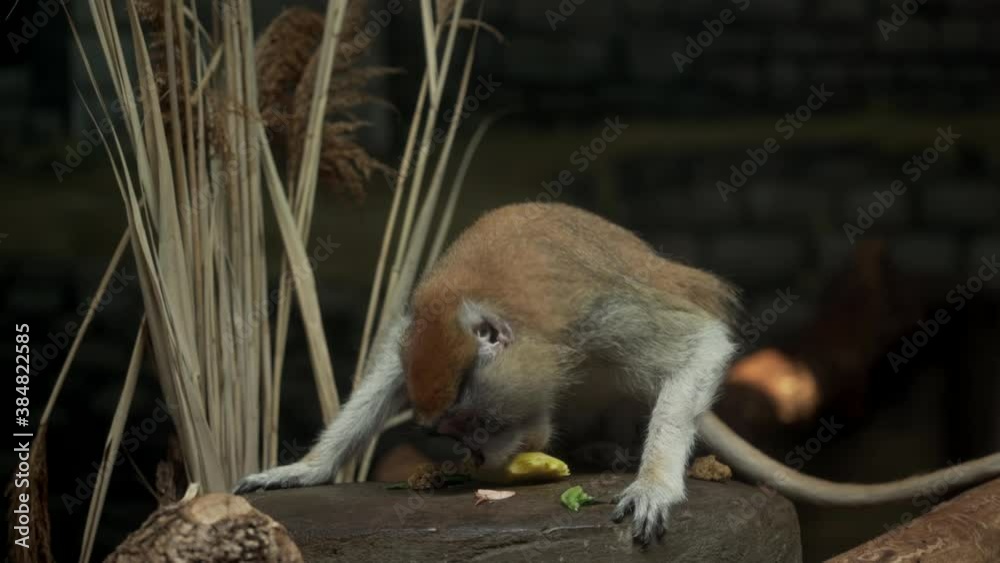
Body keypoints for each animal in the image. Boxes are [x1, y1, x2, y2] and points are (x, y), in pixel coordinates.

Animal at [236, 202, 1000, 545]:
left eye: (477, 422)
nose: (477, 456)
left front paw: (655, 483)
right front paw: (303, 469)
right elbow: (382, 377)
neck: (489, 298)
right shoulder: (421, 324)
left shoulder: (590, 314)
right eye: (451, 433)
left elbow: (701, 343)